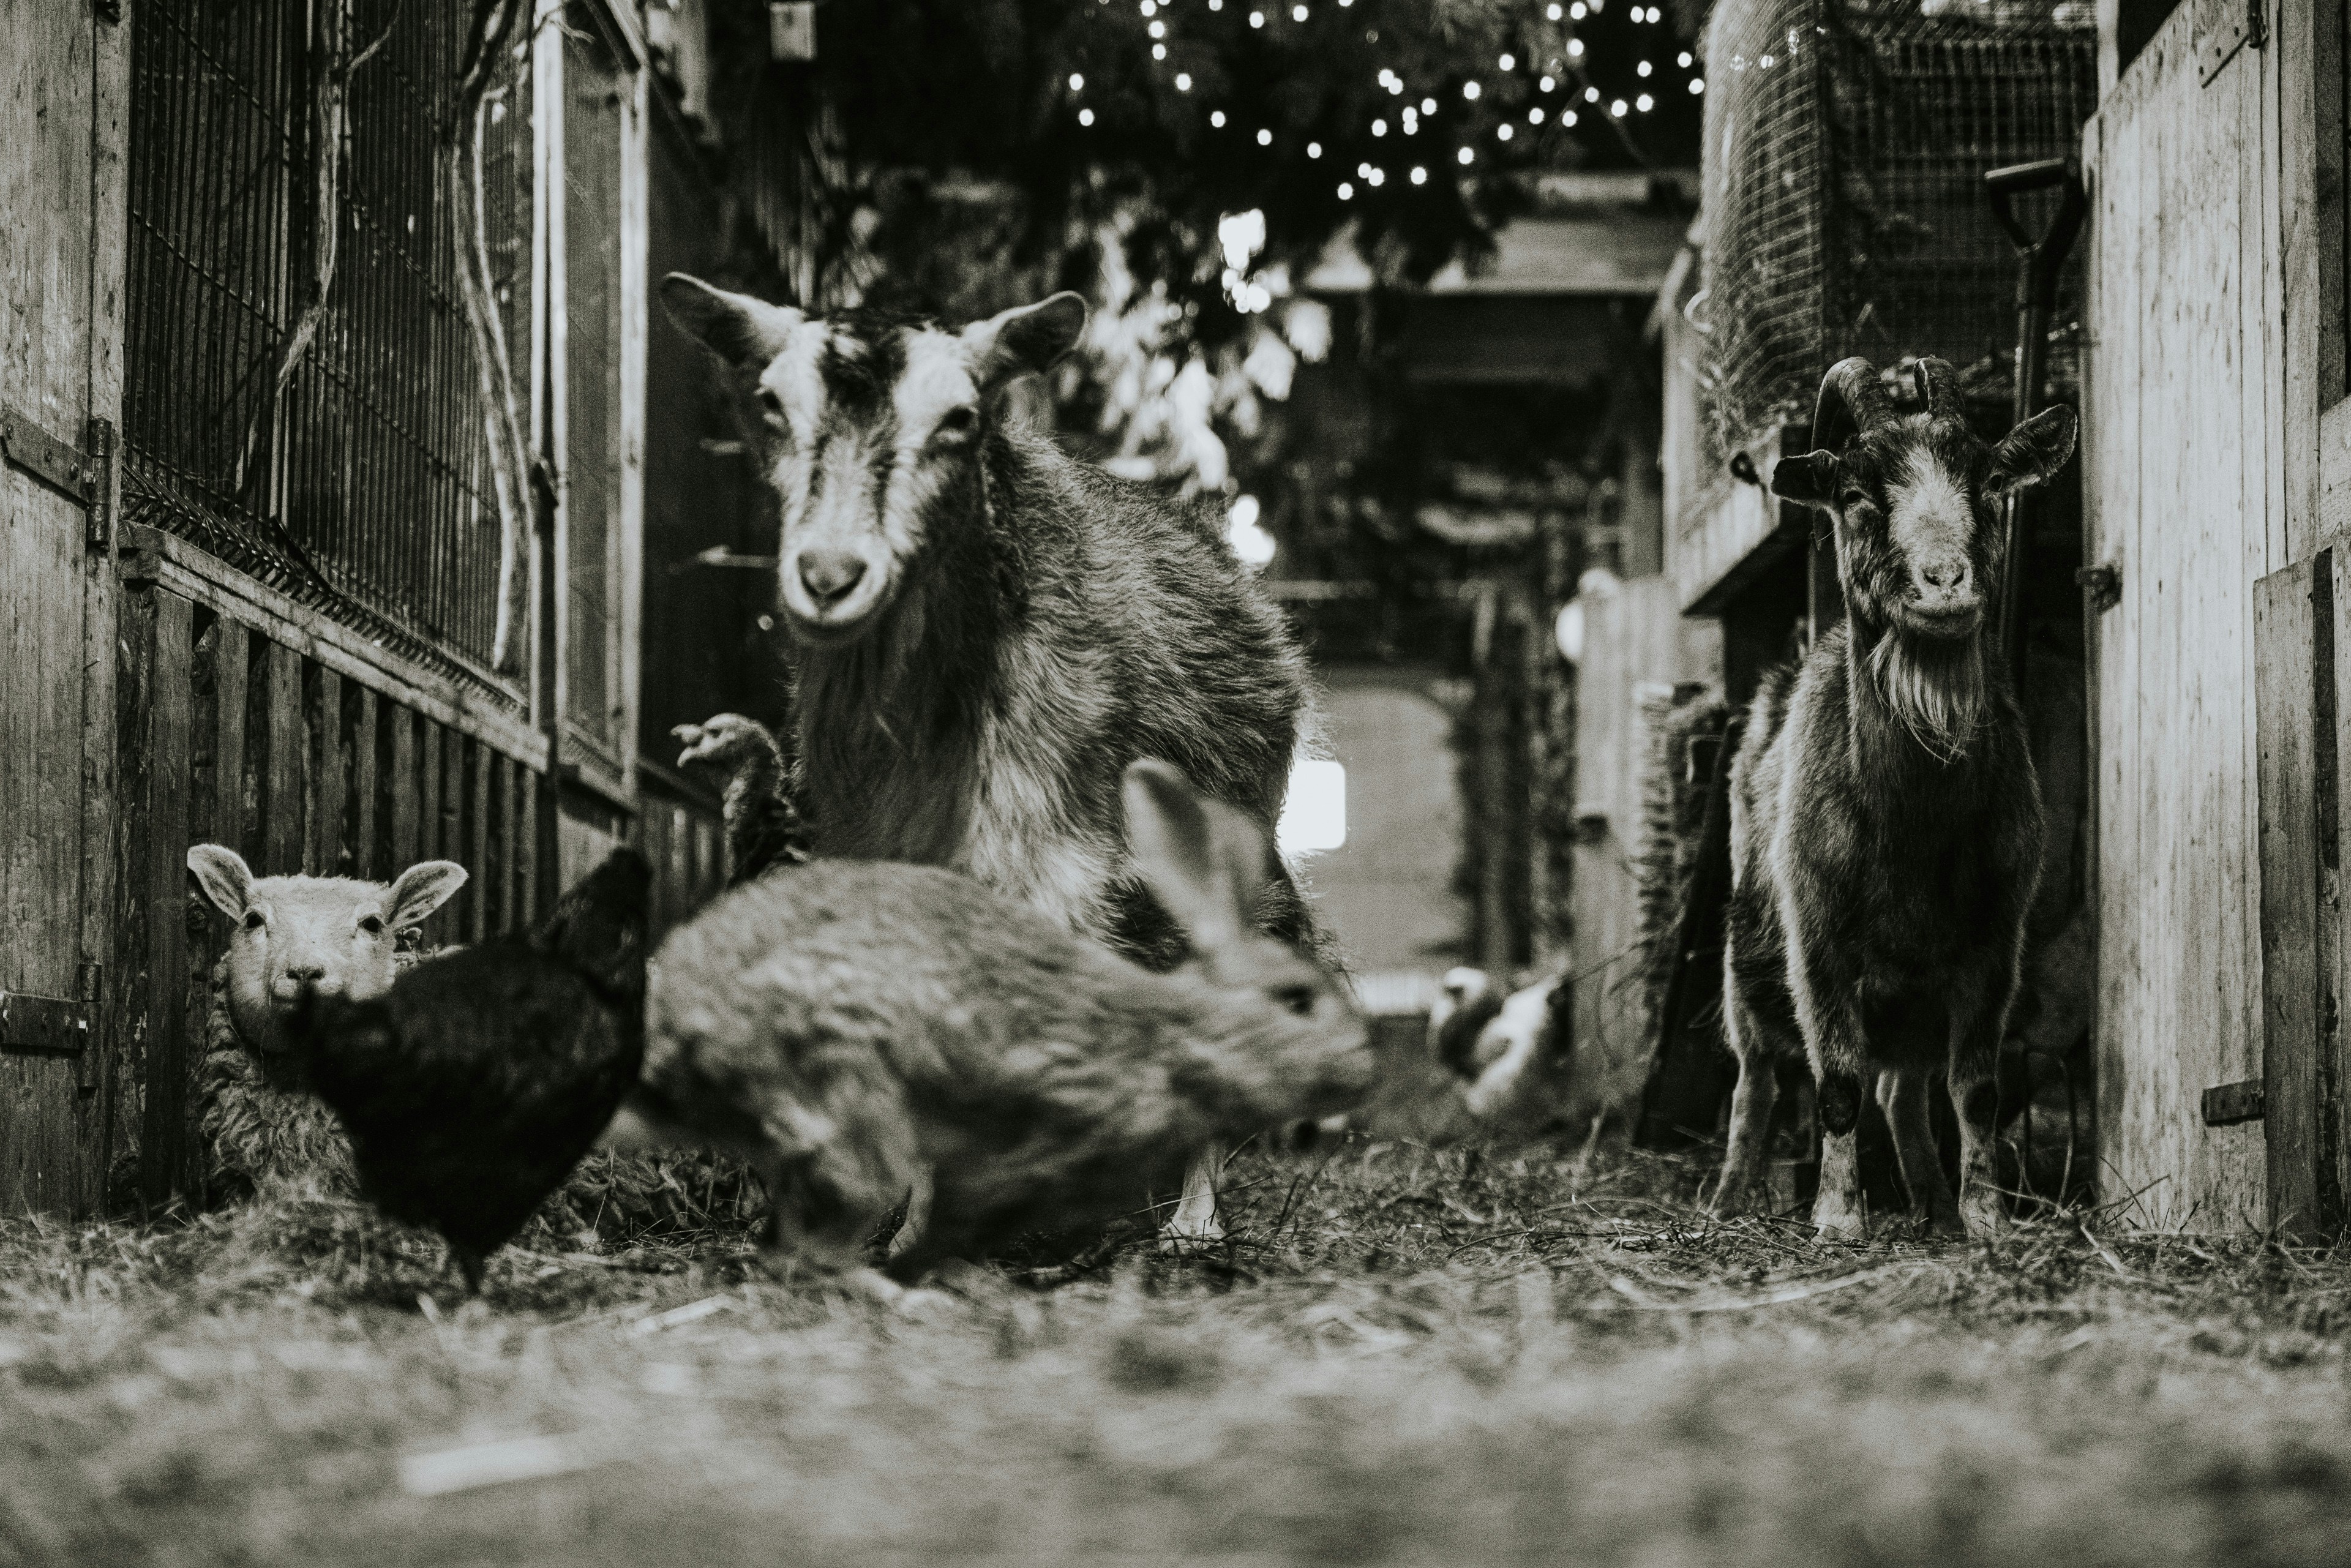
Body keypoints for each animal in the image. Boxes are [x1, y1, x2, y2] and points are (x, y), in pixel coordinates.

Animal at [1711, 357, 2075, 1238]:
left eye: (1989, 480)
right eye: (1855, 493)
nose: (1944, 584)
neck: (1912, 827)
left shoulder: (1991, 943)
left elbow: (1975, 1091)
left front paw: (1984, 1217)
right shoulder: (1818, 941)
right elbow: (1835, 1083)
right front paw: (1838, 1218)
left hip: (1913, 1007)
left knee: (1901, 1090)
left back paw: (1933, 1202)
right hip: (1747, 963)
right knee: (1757, 1076)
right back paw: (1729, 1197)